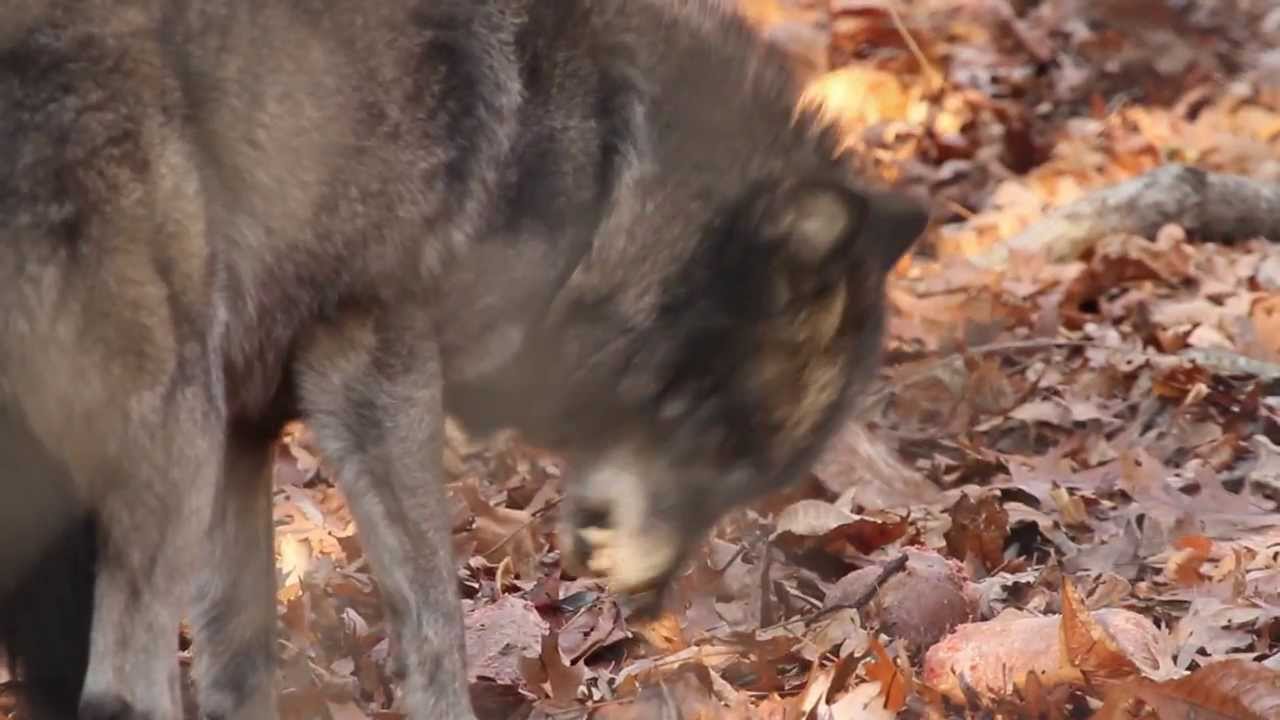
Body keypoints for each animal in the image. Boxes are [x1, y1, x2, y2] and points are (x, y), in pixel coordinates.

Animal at [0, 1, 927, 718]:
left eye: (756, 476)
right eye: (721, 440)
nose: (649, 604)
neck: (606, 163)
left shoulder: (247, 425)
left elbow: (240, 662)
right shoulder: (373, 367)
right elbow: (435, 622)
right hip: (174, 433)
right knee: (125, 686)